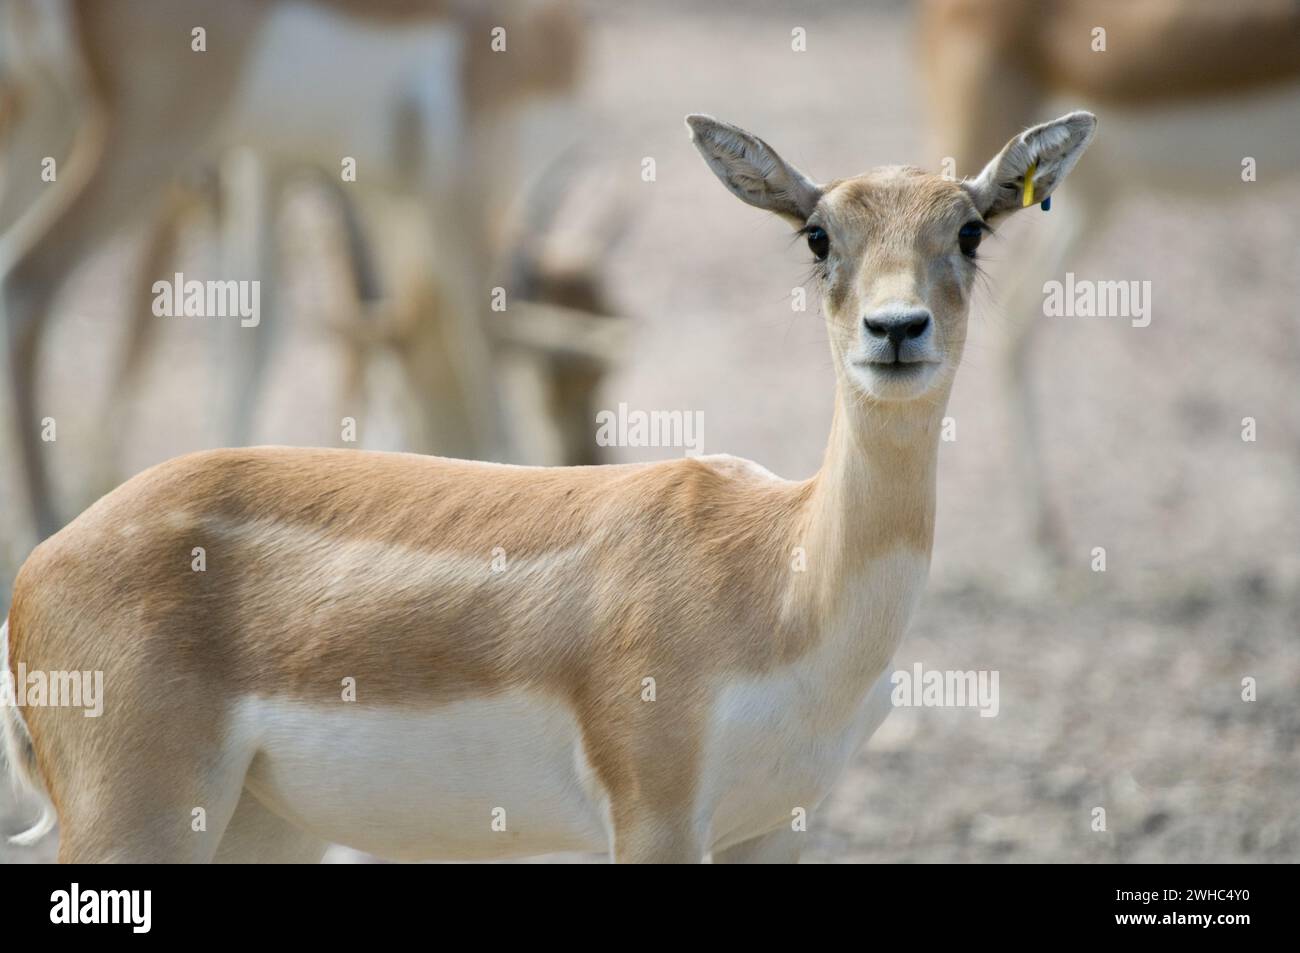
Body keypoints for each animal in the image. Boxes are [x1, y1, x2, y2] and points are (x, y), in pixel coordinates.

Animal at [1, 110, 1095, 863]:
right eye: (818, 234)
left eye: (971, 229)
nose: (896, 330)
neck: (782, 579)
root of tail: (40, 565)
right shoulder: (655, 816)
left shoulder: (777, 825)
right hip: (136, 819)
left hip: (259, 827)